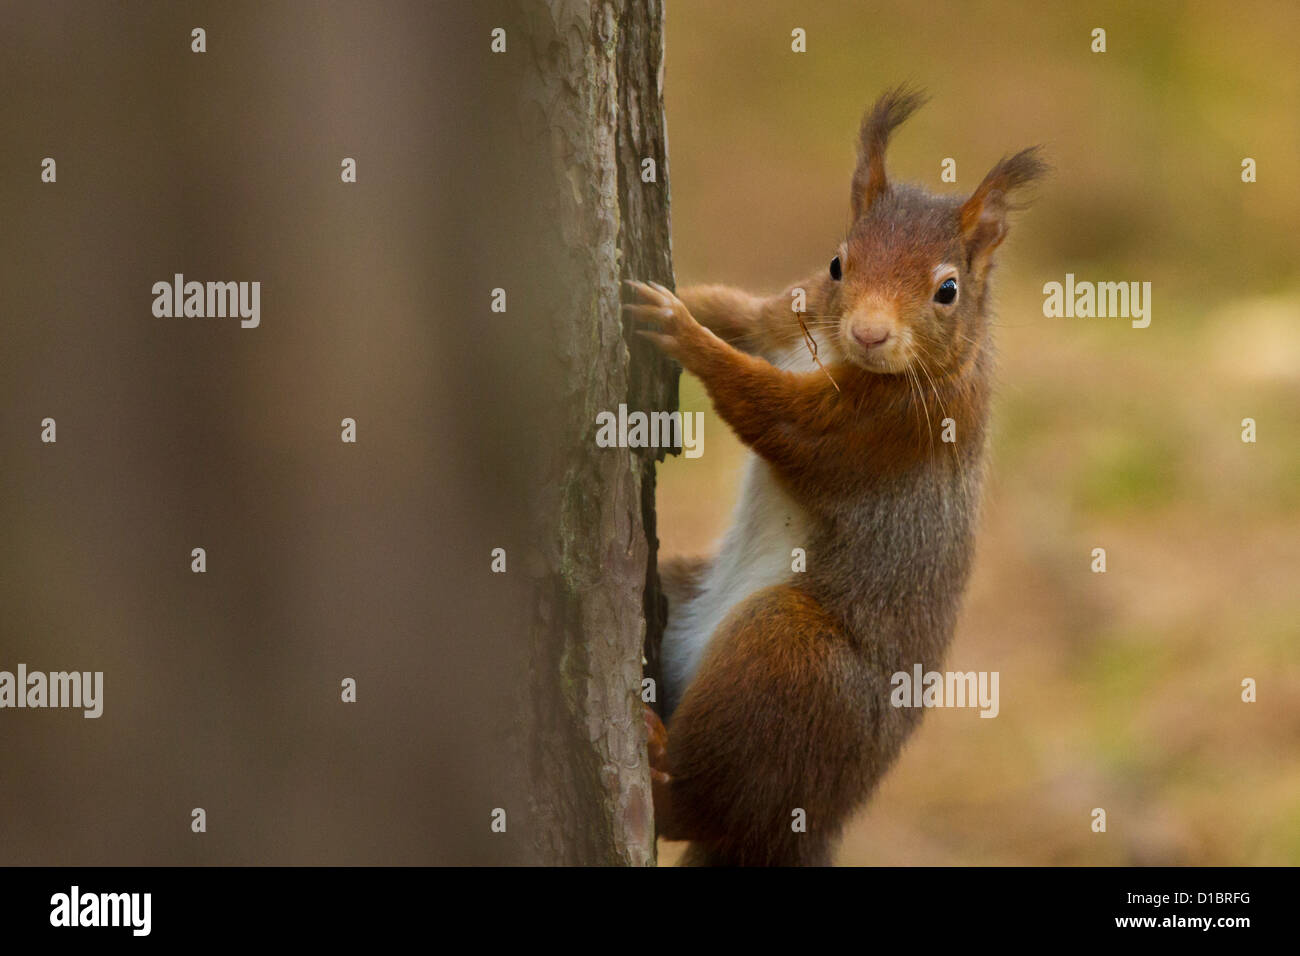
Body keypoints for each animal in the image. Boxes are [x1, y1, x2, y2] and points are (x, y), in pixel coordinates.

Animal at [625, 87, 1046, 866]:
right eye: (836, 264)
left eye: (947, 290)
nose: (869, 334)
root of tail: (814, 824)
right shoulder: (779, 317)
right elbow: (732, 308)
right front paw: (679, 299)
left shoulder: (883, 428)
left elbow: (771, 412)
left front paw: (677, 329)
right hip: (679, 590)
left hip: (792, 663)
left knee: (704, 804)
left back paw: (657, 764)